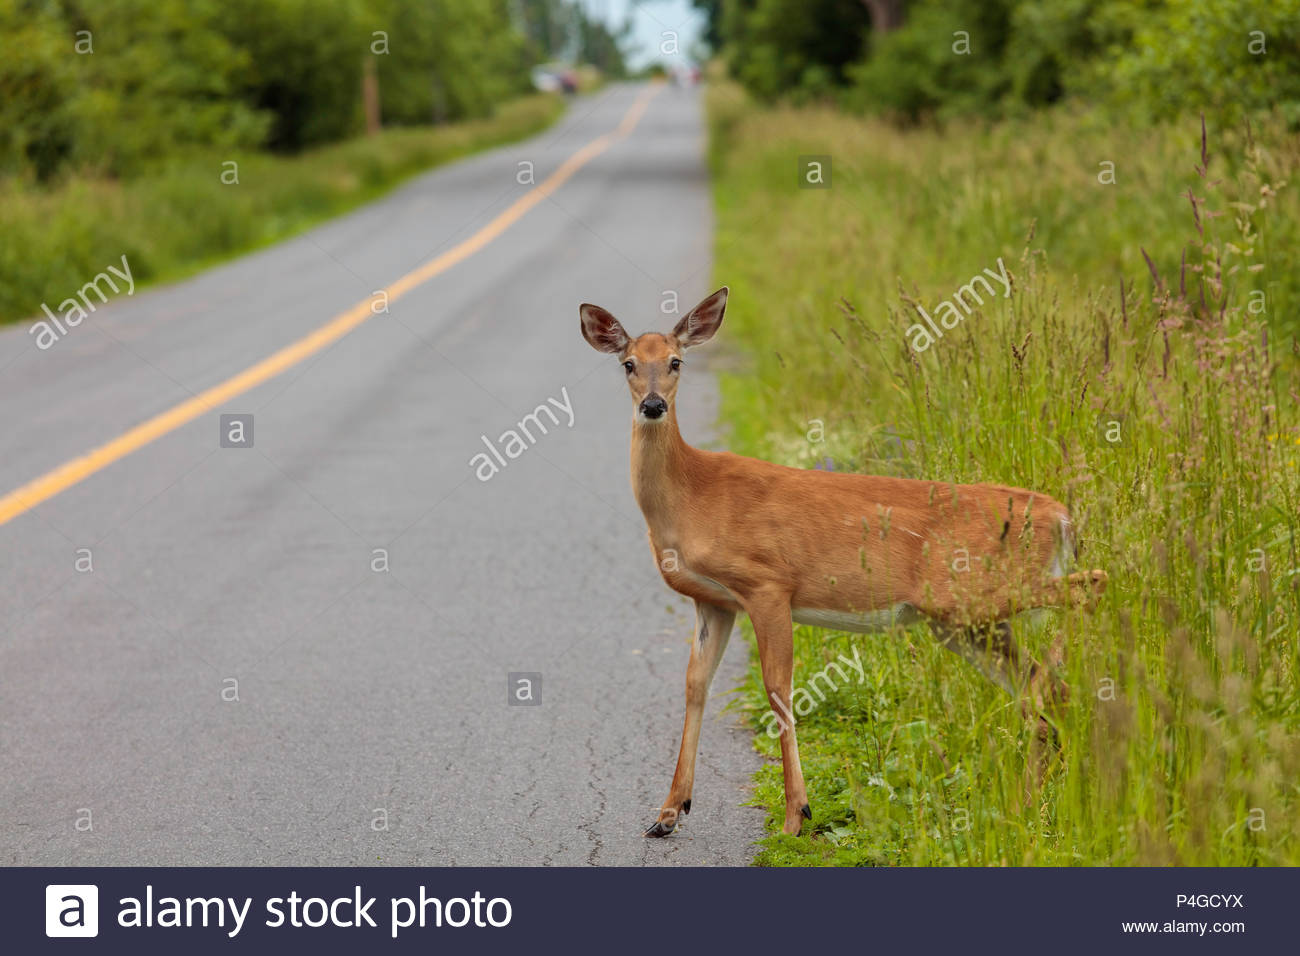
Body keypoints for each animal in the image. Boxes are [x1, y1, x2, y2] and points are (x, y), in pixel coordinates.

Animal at [579, 287, 1108, 838]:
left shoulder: (768, 583)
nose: (653, 405)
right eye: (628, 363)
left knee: (1091, 587)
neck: (693, 496)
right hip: (962, 623)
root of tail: (1062, 517)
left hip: (976, 595)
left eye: (676, 361)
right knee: (1046, 691)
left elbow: (778, 691)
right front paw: (668, 813)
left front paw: (796, 815)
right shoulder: (714, 601)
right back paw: (1032, 803)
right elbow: (694, 686)